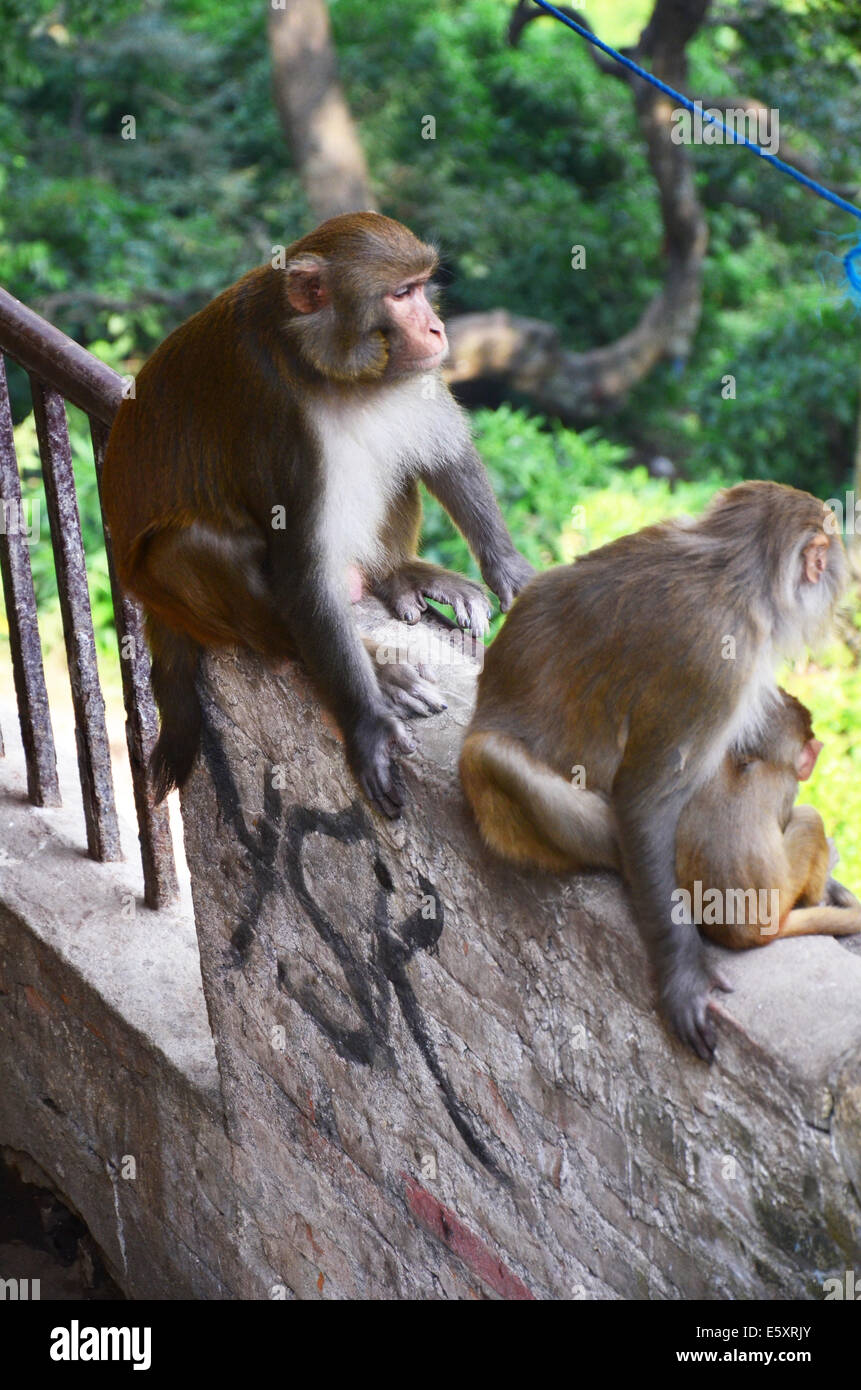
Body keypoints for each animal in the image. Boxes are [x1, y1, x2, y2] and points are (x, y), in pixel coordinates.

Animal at [101, 212, 533, 818]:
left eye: (422, 287)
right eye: (401, 295)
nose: (437, 330)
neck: (314, 356)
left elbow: (445, 452)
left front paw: (509, 569)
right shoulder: (280, 420)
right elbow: (304, 574)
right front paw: (370, 722)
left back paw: (396, 575)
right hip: (167, 586)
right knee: (194, 547)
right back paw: (378, 666)